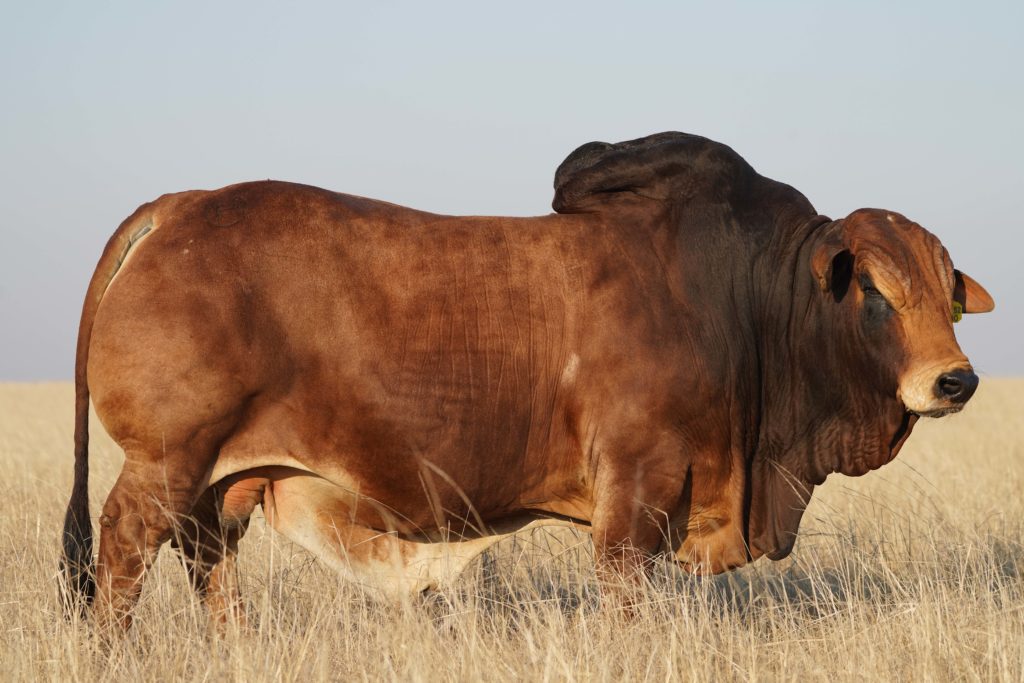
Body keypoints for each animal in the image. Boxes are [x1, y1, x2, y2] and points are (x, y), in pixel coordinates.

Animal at [59, 131, 994, 629]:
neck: (746, 300)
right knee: (124, 554)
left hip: (221, 482)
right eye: (874, 291)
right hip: (165, 463)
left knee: (208, 562)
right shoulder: (635, 489)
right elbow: (623, 593)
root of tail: (178, 206)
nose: (954, 381)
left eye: (946, 292)